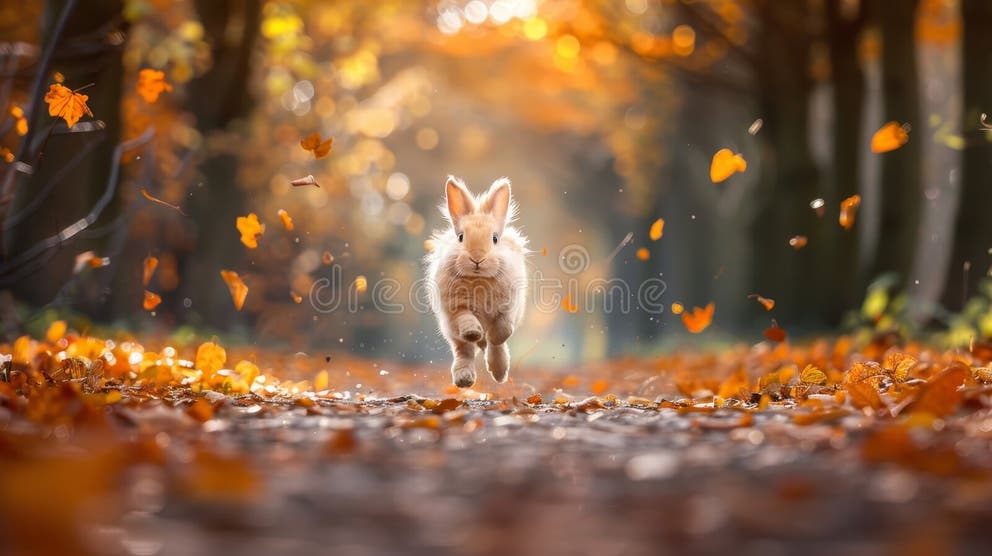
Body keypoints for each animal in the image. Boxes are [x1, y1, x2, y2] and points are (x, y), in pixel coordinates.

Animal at [425, 176, 528, 388]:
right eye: (460, 237)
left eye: (495, 238)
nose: (477, 258)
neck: (478, 279)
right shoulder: (456, 308)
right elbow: (466, 321)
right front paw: (474, 332)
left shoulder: (509, 307)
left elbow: (503, 330)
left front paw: (493, 336)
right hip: (452, 334)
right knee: (463, 352)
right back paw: (464, 378)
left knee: (496, 348)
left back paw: (499, 372)